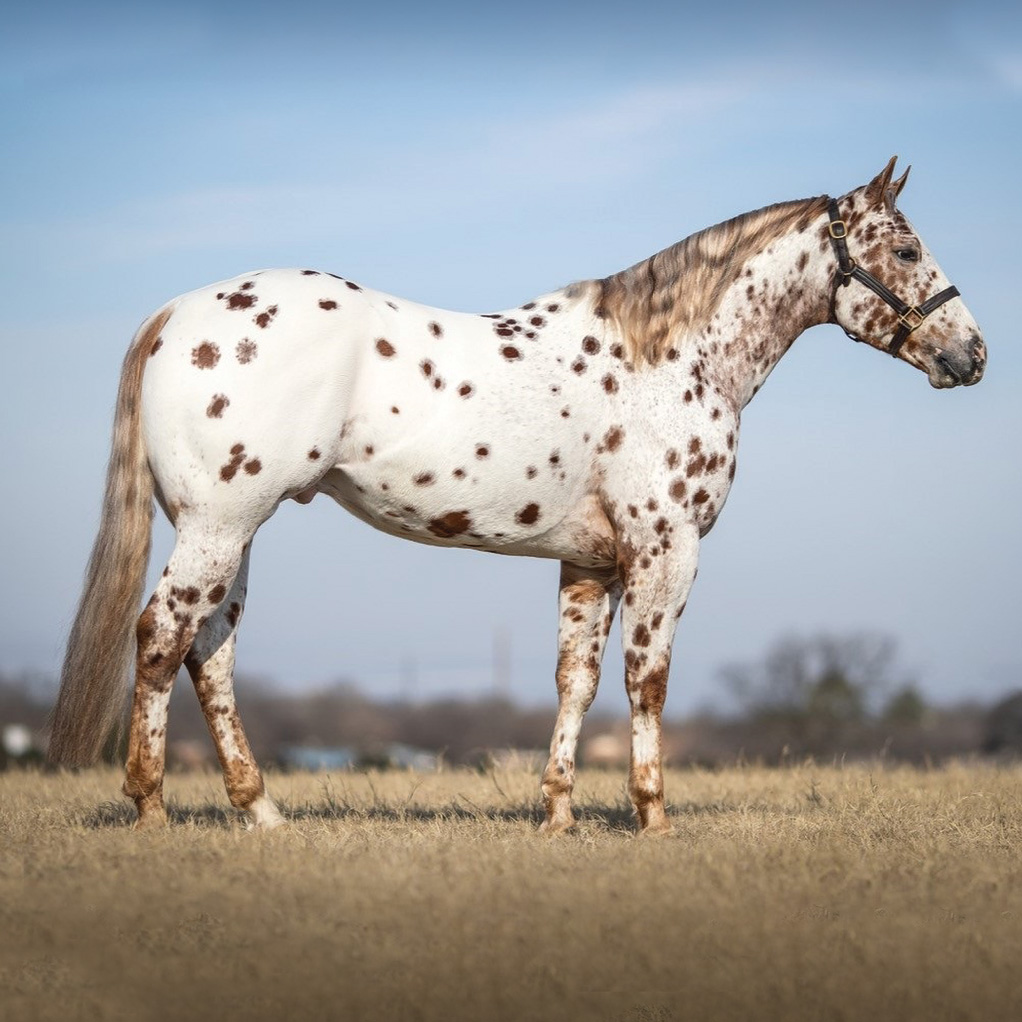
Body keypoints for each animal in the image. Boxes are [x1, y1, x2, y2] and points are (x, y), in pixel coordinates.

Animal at [49, 157, 985, 833]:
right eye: (907, 250)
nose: (972, 354)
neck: (670, 357)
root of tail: (175, 313)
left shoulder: (591, 564)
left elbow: (577, 680)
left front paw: (559, 815)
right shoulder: (666, 552)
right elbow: (648, 681)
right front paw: (654, 819)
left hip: (230, 533)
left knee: (210, 653)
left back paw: (263, 812)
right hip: (220, 524)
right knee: (161, 637)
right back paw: (151, 809)